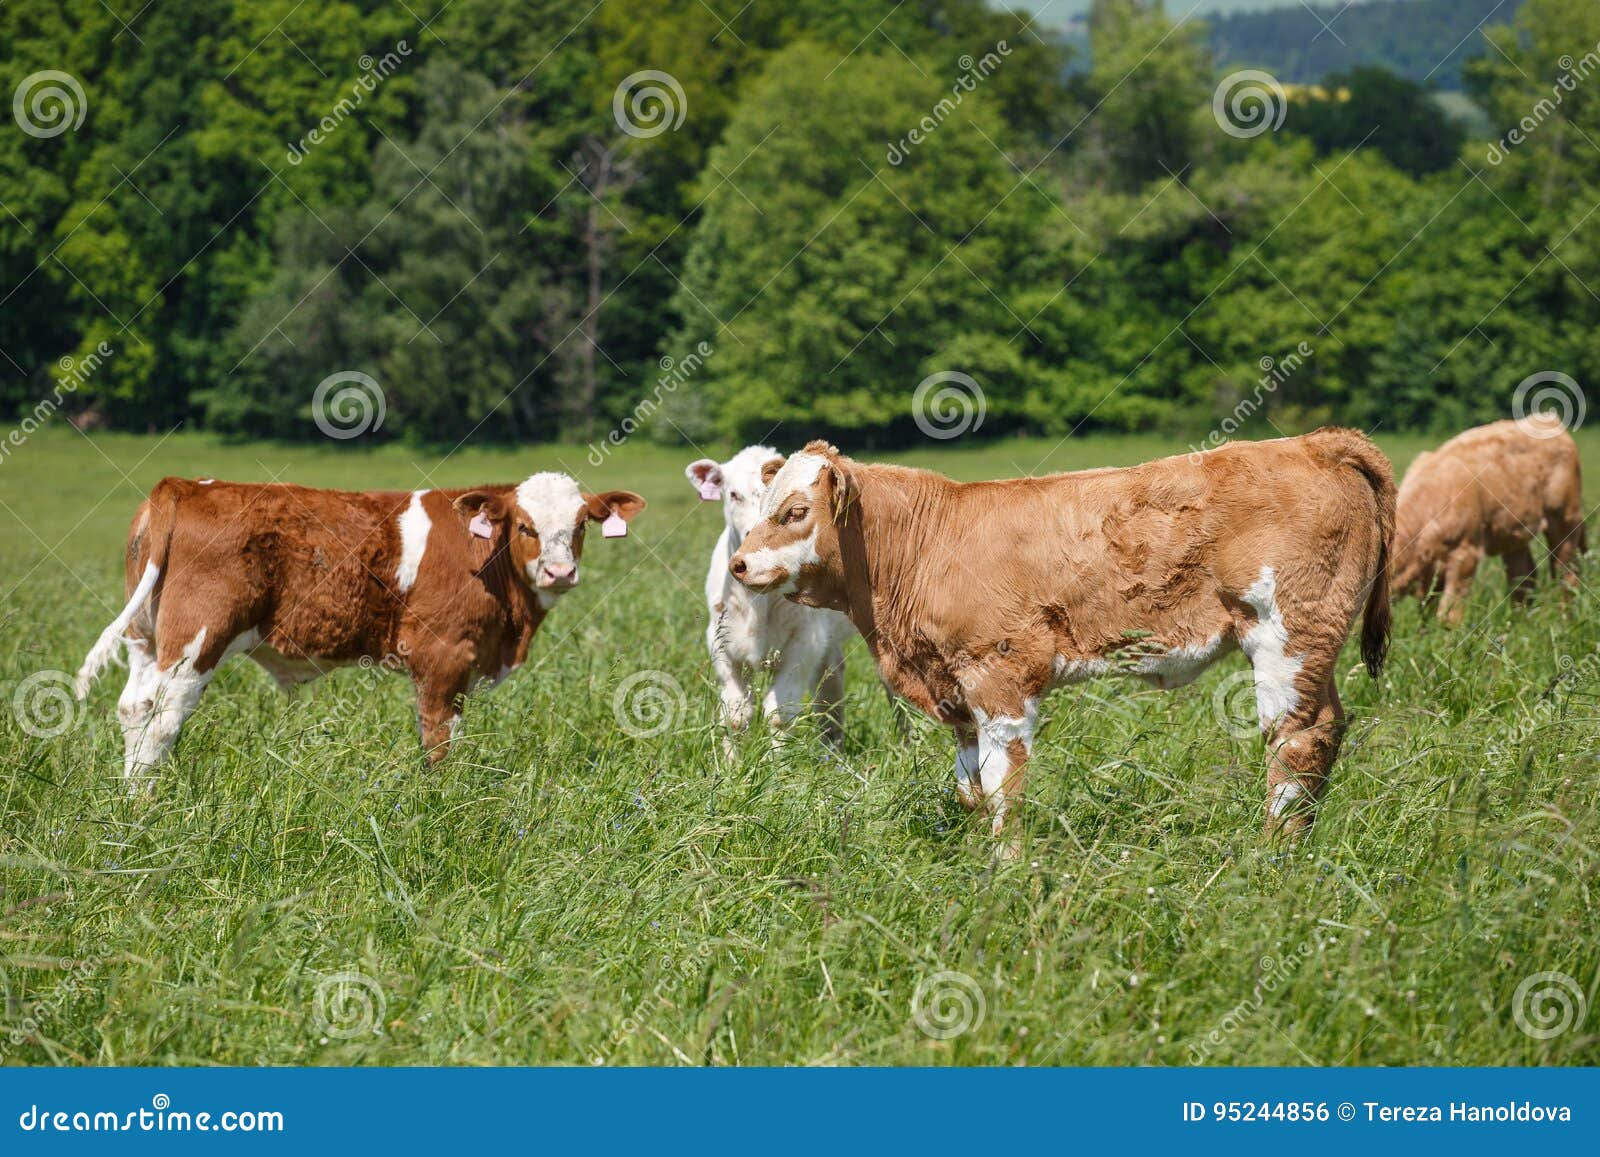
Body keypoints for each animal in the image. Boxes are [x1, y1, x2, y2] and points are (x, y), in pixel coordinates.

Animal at [74, 472, 645, 793]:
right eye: (524, 525)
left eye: (580, 524)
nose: (560, 572)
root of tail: (184, 485)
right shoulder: (444, 657)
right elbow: (439, 741)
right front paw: (447, 803)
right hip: (197, 638)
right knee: (161, 716)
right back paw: (149, 805)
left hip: (146, 638)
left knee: (133, 707)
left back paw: (130, 798)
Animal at [687, 447, 852, 751]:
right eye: (733, 494)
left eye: (795, 509)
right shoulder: (721, 643)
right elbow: (735, 715)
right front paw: (729, 762)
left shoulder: (804, 643)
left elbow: (780, 715)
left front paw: (777, 763)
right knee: (831, 685)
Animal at [727, 431, 1394, 847]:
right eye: (755, 505)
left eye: (795, 512)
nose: (738, 564)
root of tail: (1315, 442)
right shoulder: (955, 691)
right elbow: (970, 789)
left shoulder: (999, 678)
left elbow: (1004, 787)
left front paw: (1005, 869)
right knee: (1328, 731)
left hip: (1288, 637)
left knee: (1295, 742)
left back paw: (1273, 854)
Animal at [1392, 416, 1585, 623]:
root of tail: (1548, 419)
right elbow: (1427, 612)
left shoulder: (1465, 554)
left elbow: (1449, 613)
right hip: (1514, 535)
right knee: (1523, 577)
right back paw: (1518, 621)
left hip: (1565, 519)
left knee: (1566, 574)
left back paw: (1564, 619)